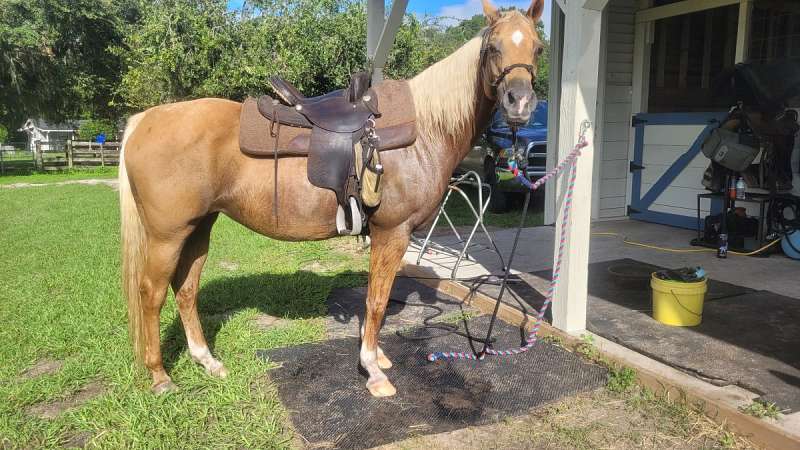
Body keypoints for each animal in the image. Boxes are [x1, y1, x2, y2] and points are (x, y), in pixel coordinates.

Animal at [119, 0, 545, 397]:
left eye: (538, 47)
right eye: (492, 47)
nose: (519, 103)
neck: (425, 129)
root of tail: (144, 120)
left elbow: (374, 299)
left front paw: (376, 357)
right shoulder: (393, 232)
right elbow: (377, 301)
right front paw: (373, 371)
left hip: (198, 228)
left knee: (186, 290)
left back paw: (208, 361)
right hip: (167, 236)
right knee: (151, 294)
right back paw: (160, 376)